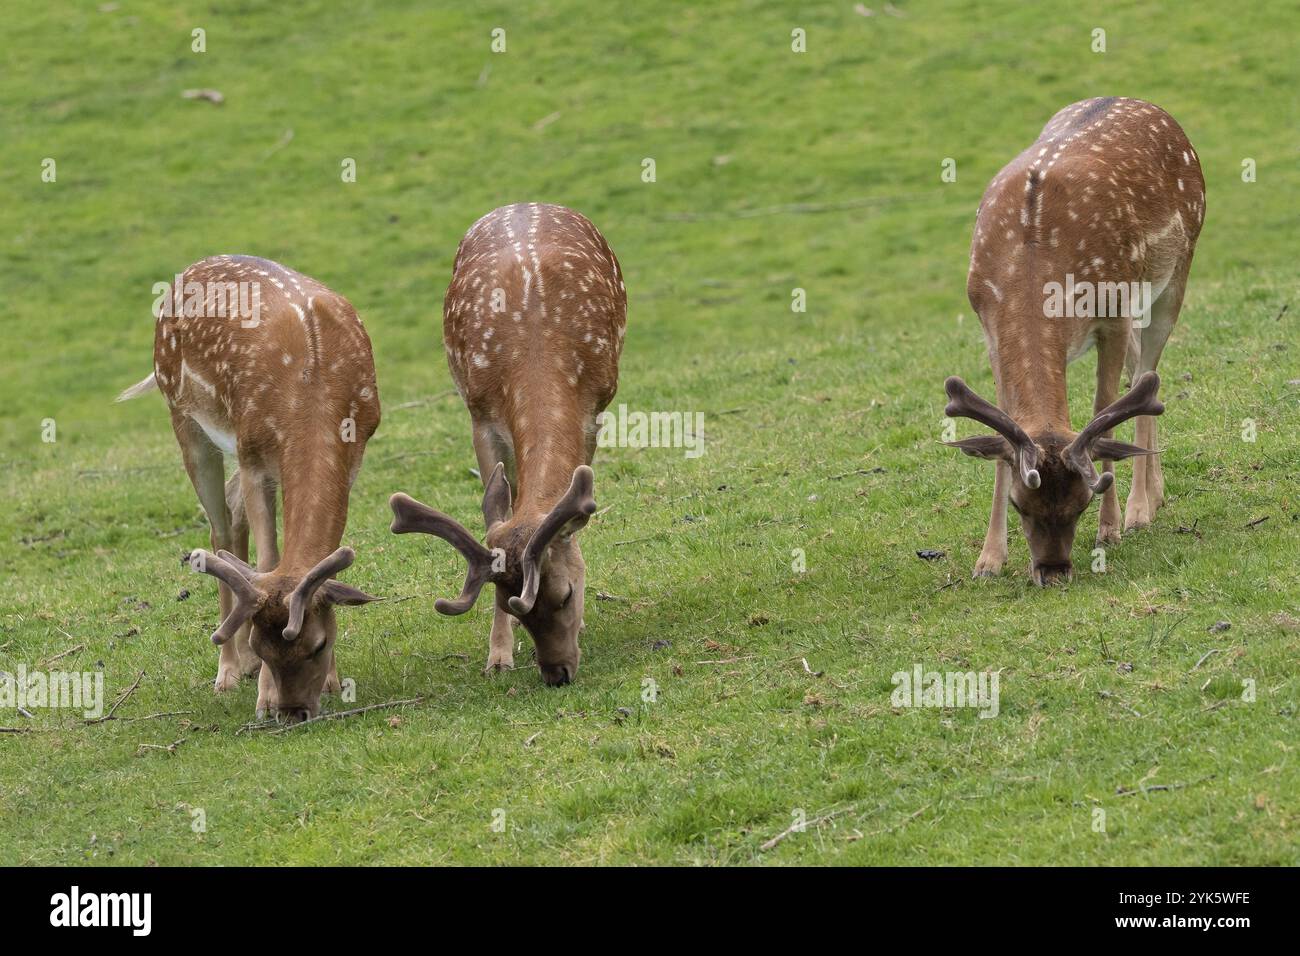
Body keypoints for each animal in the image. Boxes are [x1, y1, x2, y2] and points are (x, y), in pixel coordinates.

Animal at [117, 255, 381, 721]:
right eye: (264, 644)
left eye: (319, 644)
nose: (292, 712)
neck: (314, 394)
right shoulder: (255, 456)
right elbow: (269, 559)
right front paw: (261, 692)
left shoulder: (356, 450)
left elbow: (323, 560)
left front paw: (333, 681)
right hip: (186, 417)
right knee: (219, 529)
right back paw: (227, 671)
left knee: (232, 512)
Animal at [388, 203, 626, 686]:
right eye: (504, 600)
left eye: (566, 594)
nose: (557, 674)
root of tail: (526, 203)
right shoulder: (481, 416)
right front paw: (498, 654)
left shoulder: (593, 409)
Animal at [944, 97, 1204, 585]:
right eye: (1019, 505)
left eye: (1081, 503)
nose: (1053, 571)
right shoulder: (988, 326)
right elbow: (1004, 427)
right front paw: (988, 559)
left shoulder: (1114, 311)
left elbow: (1105, 410)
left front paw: (1110, 528)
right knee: (1145, 377)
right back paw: (1157, 493)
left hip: (1174, 274)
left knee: (1149, 371)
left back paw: (1140, 509)